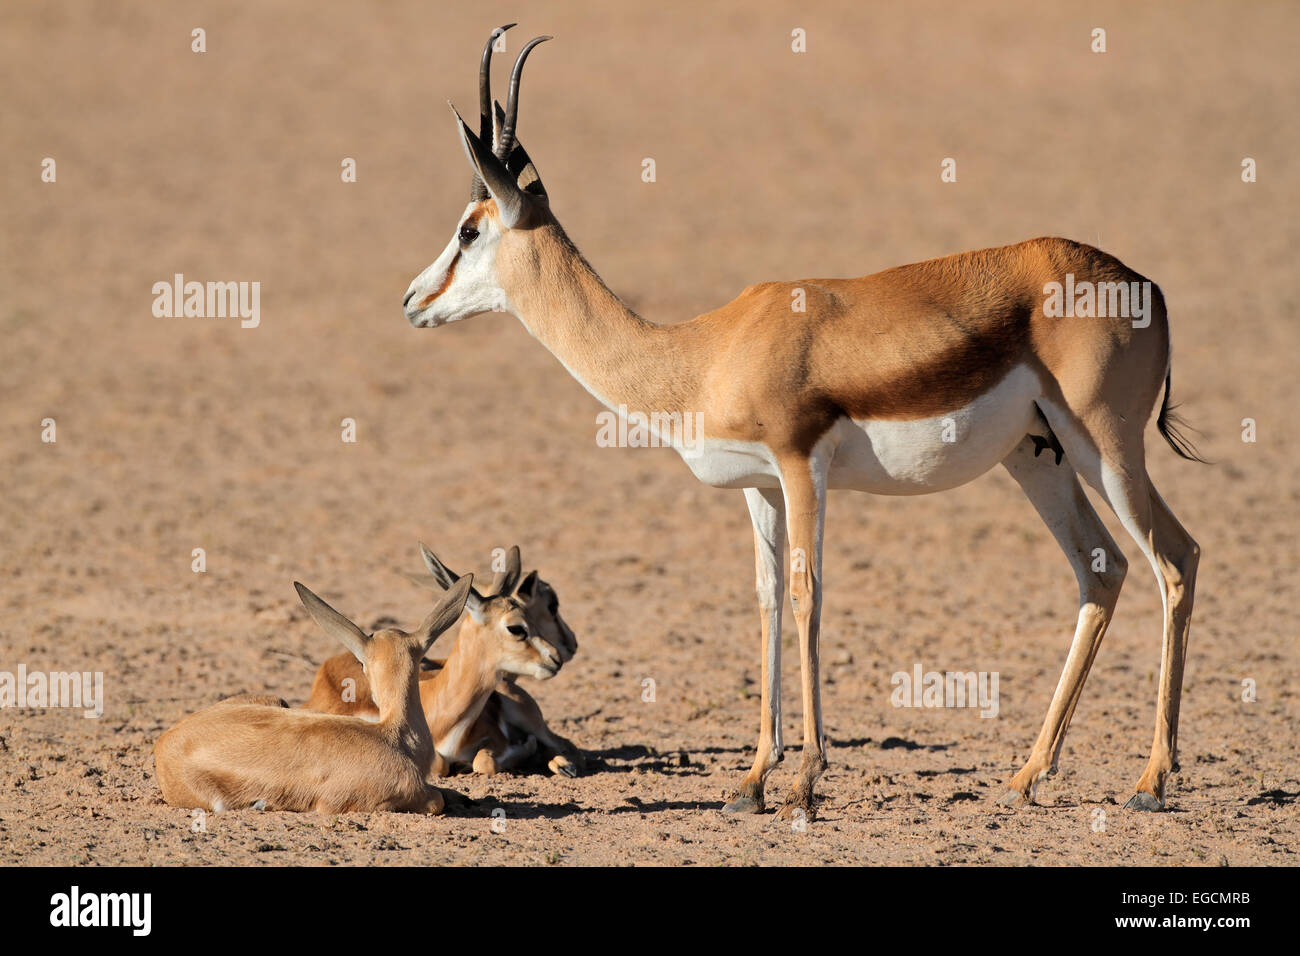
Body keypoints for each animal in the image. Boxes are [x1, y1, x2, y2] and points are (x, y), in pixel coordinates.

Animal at [402, 26, 1202, 818]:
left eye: (469, 231)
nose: (412, 299)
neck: (703, 354)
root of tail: (1147, 285)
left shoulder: (800, 467)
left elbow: (807, 593)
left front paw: (806, 779)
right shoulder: (760, 486)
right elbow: (766, 601)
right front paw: (751, 781)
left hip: (1106, 447)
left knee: (1175, 559)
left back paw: (1150, 784)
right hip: (1038, 457)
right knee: (1102, 570)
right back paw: (1028, 775)